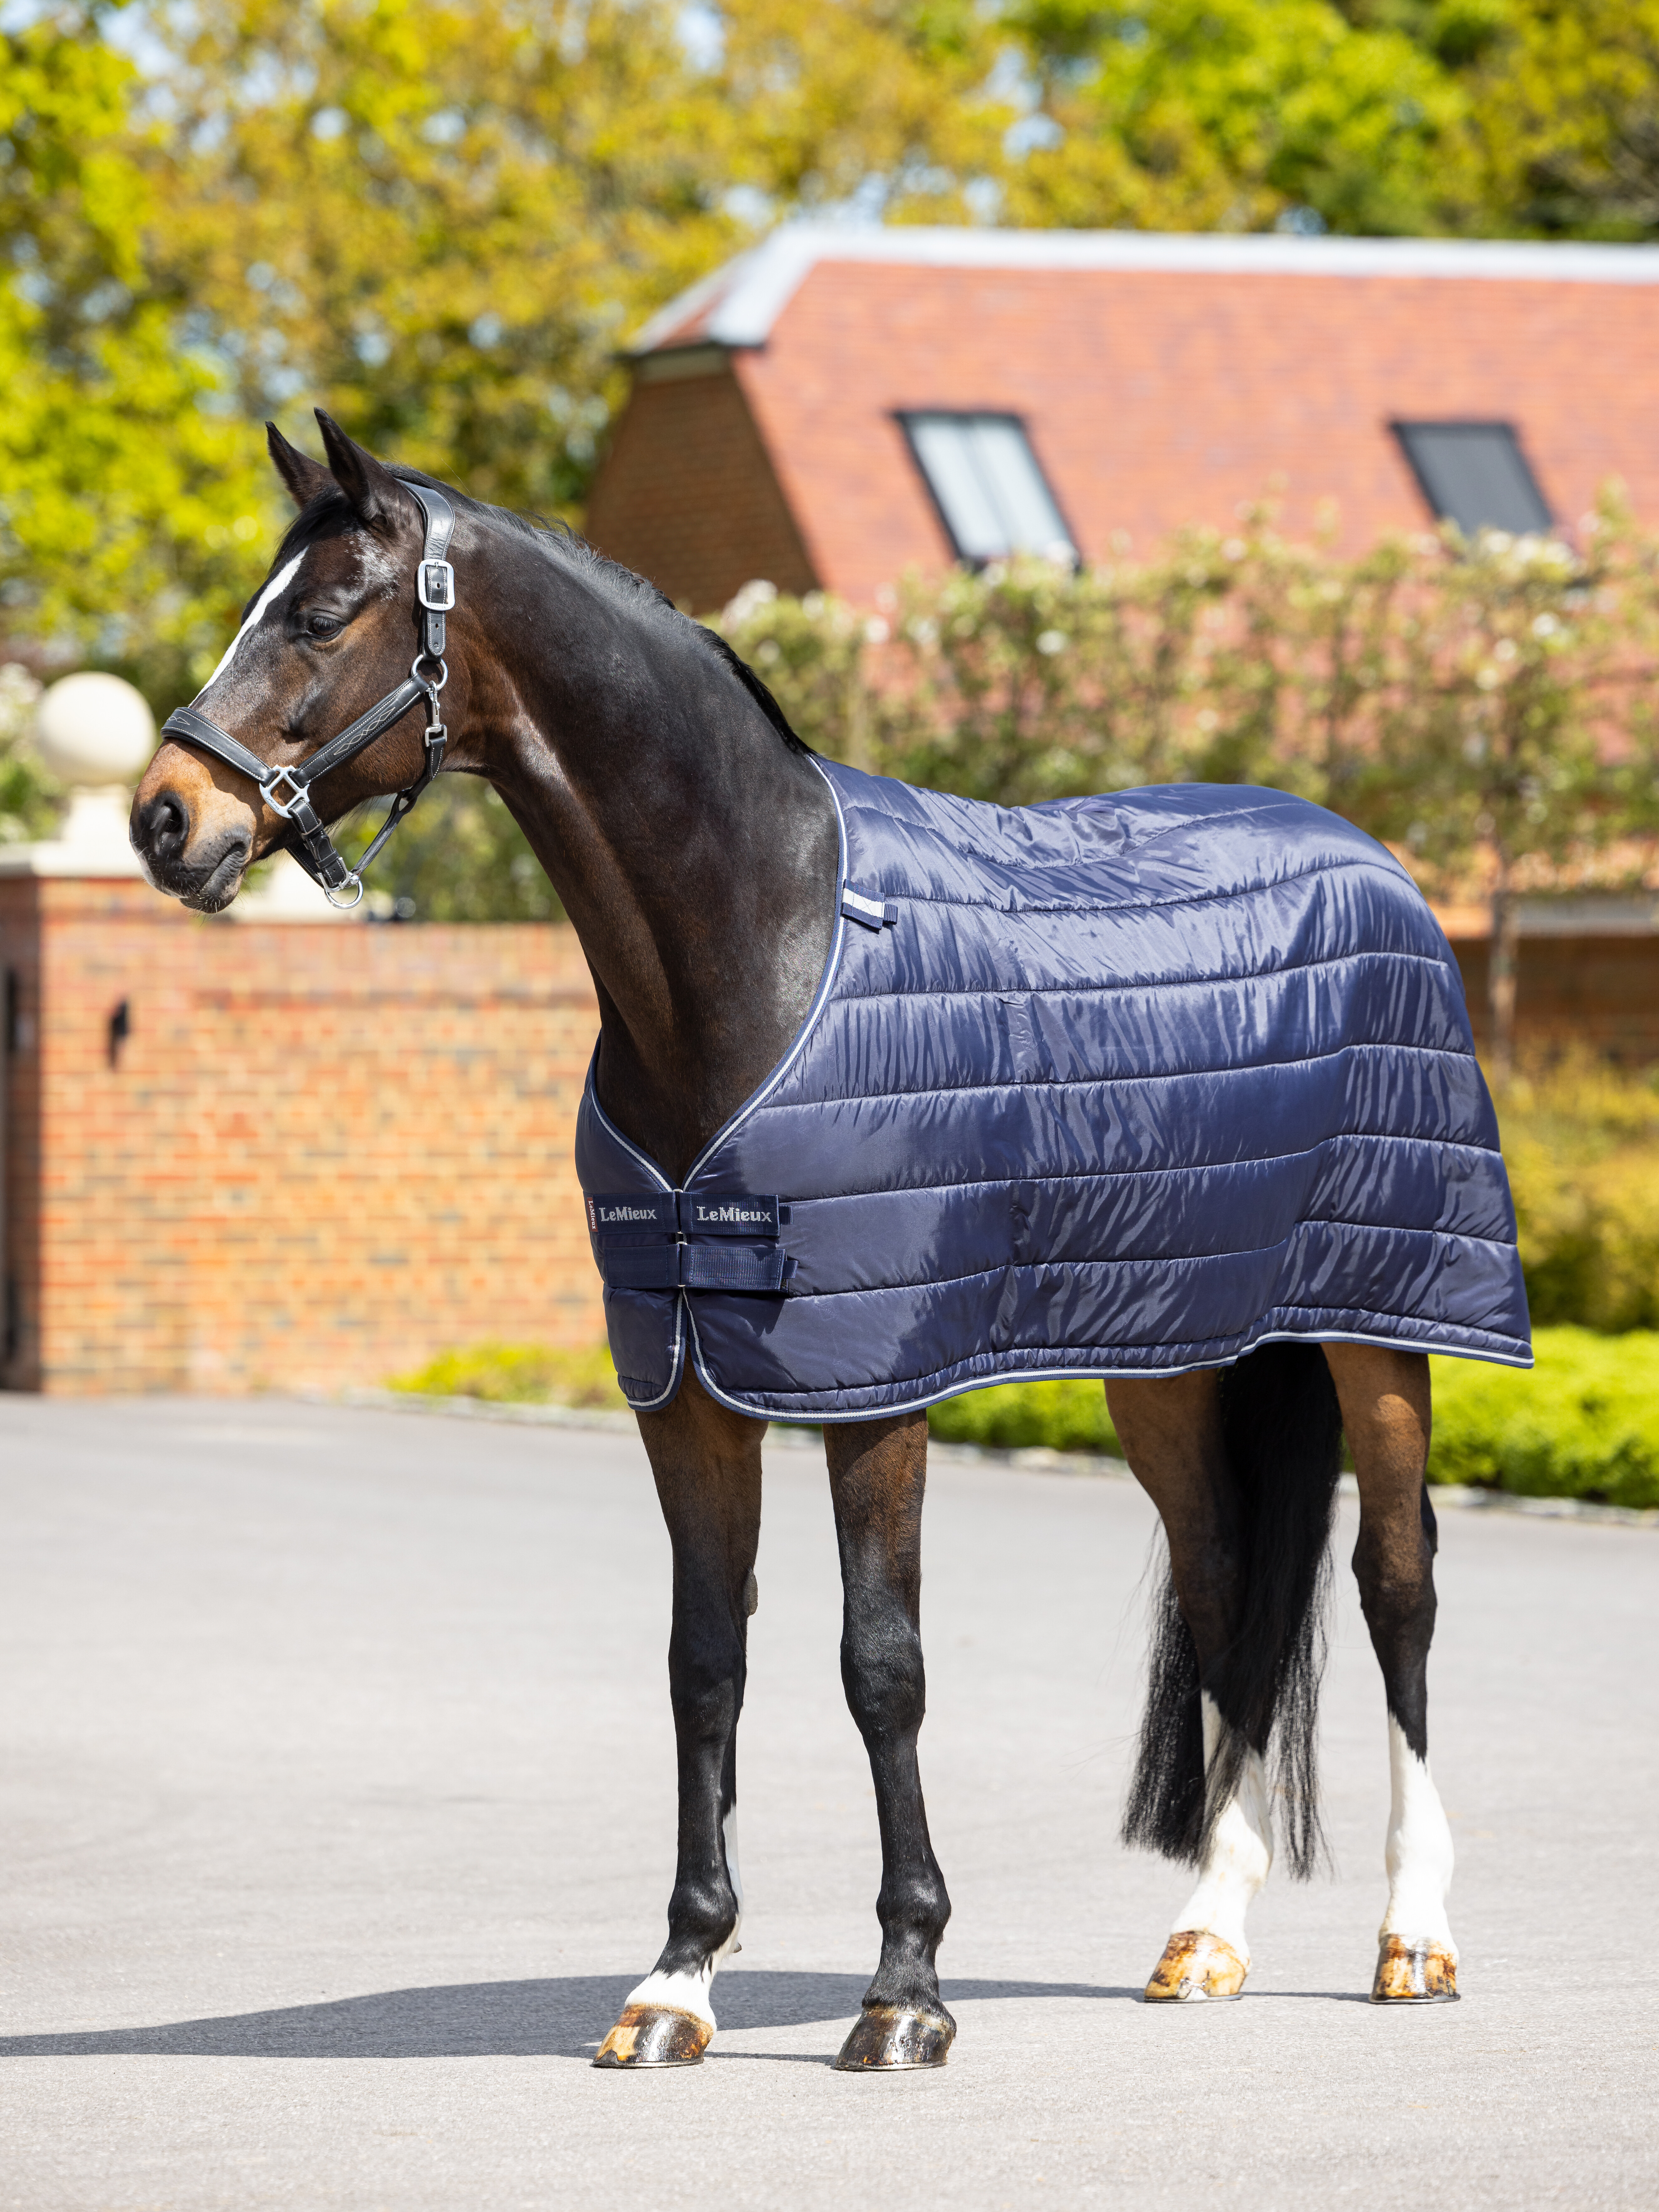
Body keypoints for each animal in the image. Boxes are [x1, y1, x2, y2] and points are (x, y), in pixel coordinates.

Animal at [132, 413, 1528, 2070]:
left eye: (324, 612)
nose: (165, 818)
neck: (761, 946)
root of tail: (1366, 855)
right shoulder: (684, 1383)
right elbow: (704, 1663)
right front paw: (675, 1981)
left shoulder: (873, 1386)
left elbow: (882, 1665)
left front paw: (906, 1987)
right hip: (1171, 1359)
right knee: (1224, 1589)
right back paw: (1205, 1936)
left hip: (1386, 1325)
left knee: (1397, 1585)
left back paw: (1414, 1936)